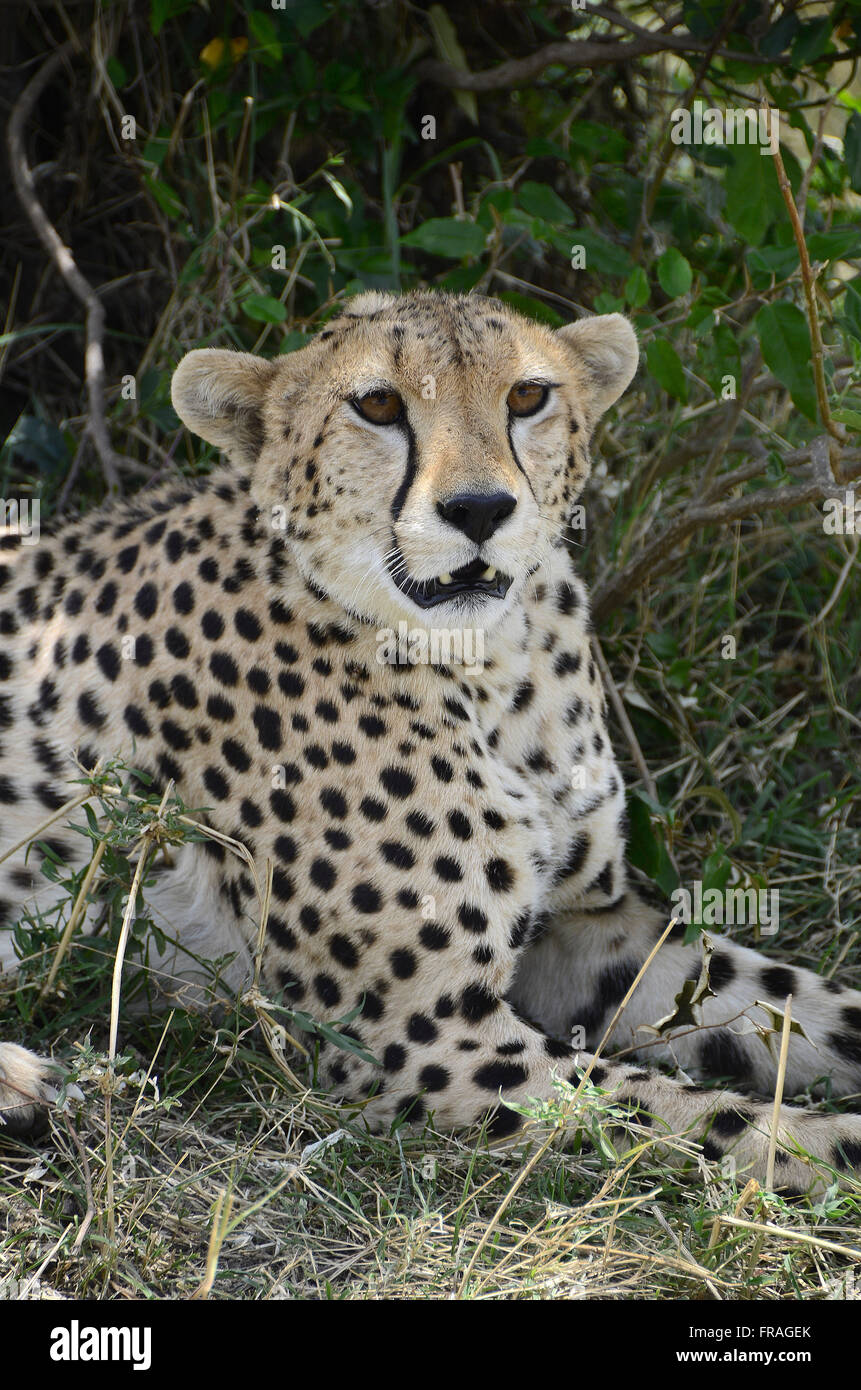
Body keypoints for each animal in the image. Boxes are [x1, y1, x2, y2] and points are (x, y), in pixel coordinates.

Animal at [2, 289, 861, 1198]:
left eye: (528, 396)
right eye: (378, 405)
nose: (478, 509)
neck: (490, 666)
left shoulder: (594, 927)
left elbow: (793, 1005)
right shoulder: (428, 1041)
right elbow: (712, 1119)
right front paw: (835, 1146)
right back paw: (20, 1086)